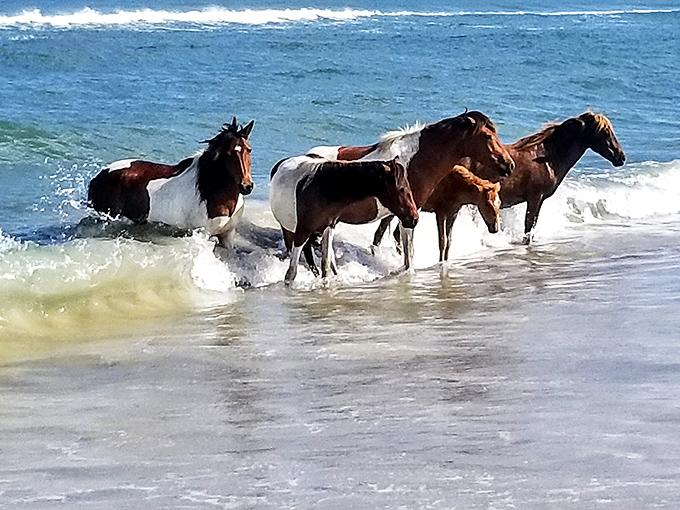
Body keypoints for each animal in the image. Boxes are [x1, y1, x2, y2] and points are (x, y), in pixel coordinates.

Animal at [87, 117, 254, 246]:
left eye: (249, 149)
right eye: (228, 153)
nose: (246, 186)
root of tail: (100, 175)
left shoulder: (227, 235)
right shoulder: (204, 233)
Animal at [269, 155, 418, 283]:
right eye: (401, 189)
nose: (414, 218)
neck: (323, 189)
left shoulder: (328, 228)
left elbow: (326, 266)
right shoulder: (301, 233)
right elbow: (291, 273)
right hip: (289, 231)